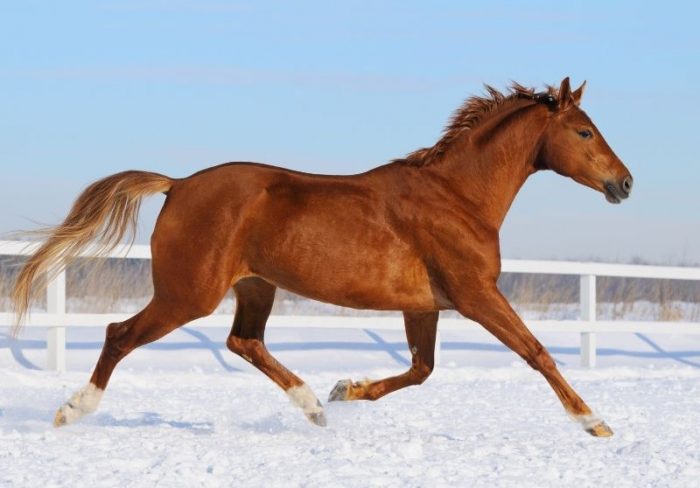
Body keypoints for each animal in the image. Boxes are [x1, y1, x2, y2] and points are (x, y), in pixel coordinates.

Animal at [12, 77, 632, 437]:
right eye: (583, 131)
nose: (624, 184)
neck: (457, 197)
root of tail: (179, 184)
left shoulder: (424, 304)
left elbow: (422, 369)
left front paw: (346, 389)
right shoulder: (477, 294)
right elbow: (538, 353)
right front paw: (595, 422)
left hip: (254, 285)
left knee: (244, 342)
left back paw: (314, 406)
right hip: (188, 293)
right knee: (120, 333)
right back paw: (70, 411)